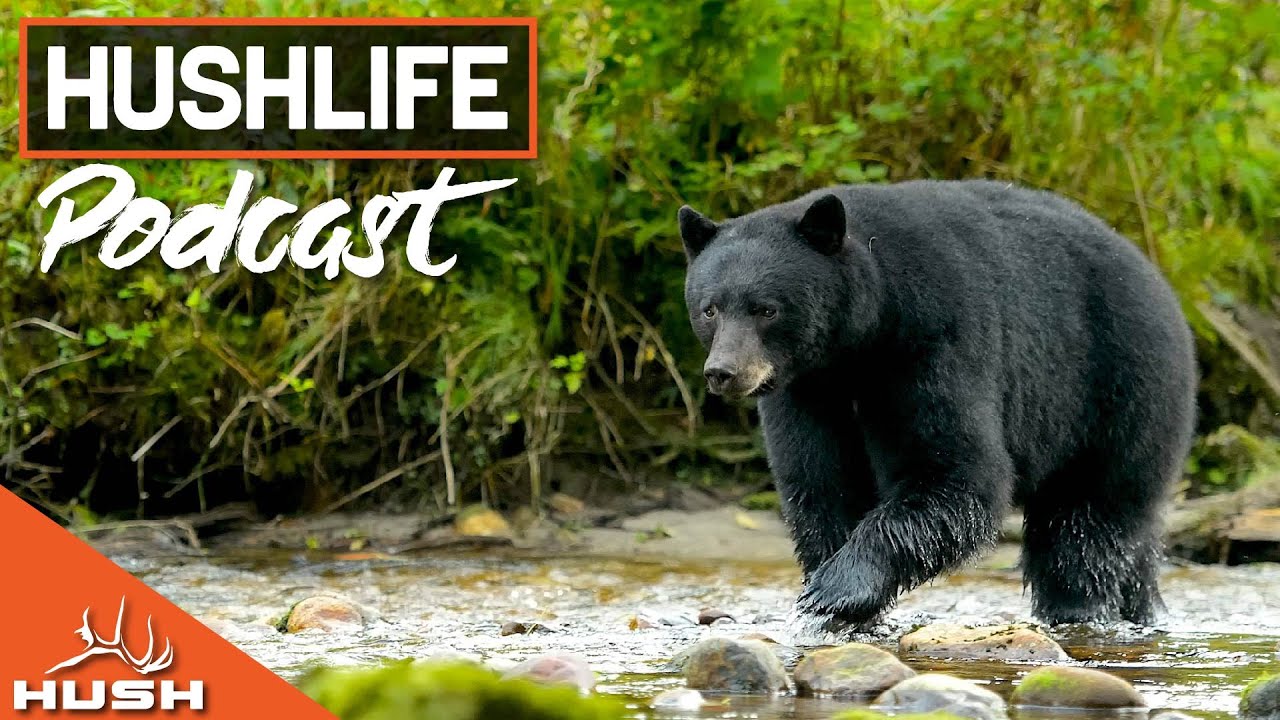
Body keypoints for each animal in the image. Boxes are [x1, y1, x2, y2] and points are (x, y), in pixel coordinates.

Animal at [678, 179, 1197, 626]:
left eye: (767, 309)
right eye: (710, 308)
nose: (723, 372)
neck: (857, 346)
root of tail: (1160, 283)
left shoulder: (935, 343)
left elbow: (957, 471)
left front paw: (837, 589)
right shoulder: (806, 390)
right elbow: (821, 482)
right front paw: (834, 593)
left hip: (1115, 388)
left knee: (1085, 521)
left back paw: (1077, 607)